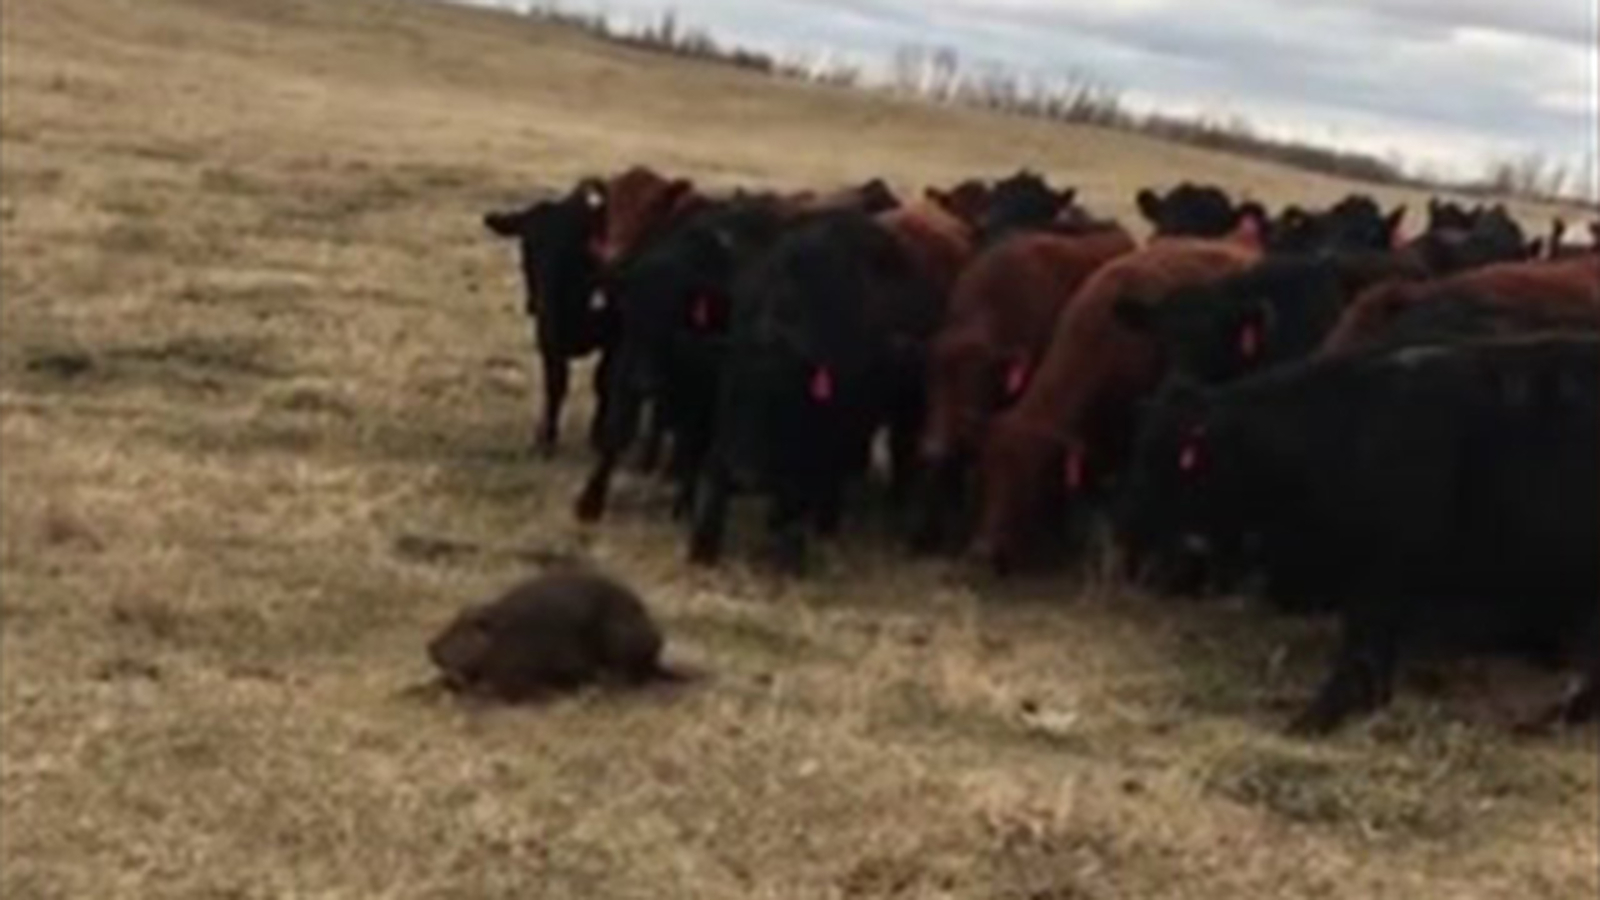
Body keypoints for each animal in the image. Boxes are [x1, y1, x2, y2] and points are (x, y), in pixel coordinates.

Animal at [482, 178, 611, 455]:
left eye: (574, 241)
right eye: (526, 246)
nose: (534, 303)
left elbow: (603, 380)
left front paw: (599, 434)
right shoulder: (549, 335)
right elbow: (556, 383)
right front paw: (546, 438)